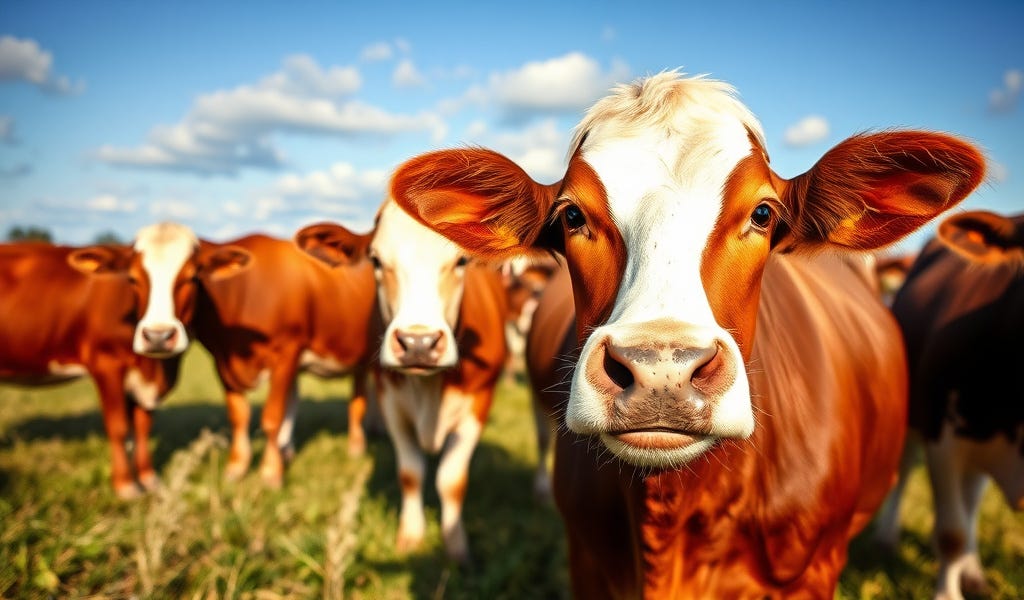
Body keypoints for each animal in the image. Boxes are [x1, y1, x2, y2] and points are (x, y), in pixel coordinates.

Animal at [0, 222, 249, 498]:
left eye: (193, 277)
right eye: (132, 278)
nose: (158, 336)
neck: (154, 369)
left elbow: (142, 426)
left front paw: (148, 478)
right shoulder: (106, 363)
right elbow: (118, 426)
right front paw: (126, 485)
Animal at [195, 225, 379, 487]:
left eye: (191, 273)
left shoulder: (287, 352)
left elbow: (273, 417)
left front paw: (271, 472)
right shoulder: (221, 363)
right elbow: (239, 416)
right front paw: (237, 468)